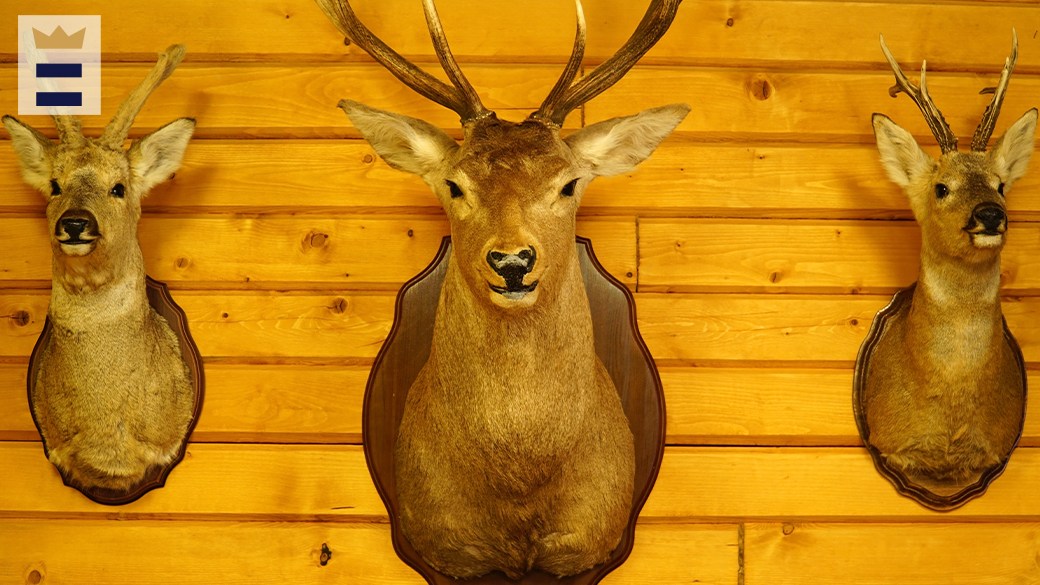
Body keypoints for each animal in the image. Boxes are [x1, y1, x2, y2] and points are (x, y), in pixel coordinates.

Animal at [316, 0, 687, 578]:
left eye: (569, 183)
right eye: (454, 184)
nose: (512, 261)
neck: (520, 480)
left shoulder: (588, 544)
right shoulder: (444, 546)